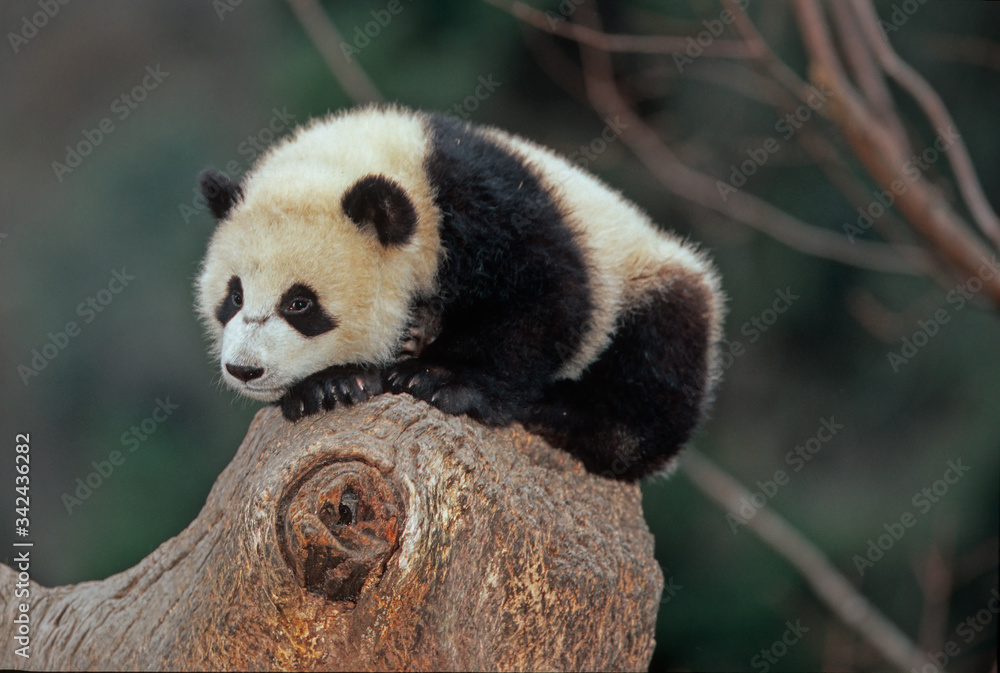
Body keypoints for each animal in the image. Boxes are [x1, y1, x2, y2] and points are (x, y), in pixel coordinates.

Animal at [195, 105, 724, 481]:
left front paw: (439, 379)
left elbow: (546, 300)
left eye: (299, 303)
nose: (244, 369)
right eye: (234, 296)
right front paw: (329, 388)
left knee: (657, 356)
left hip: (643, 271)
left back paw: (568, 417)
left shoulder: (486, 204)